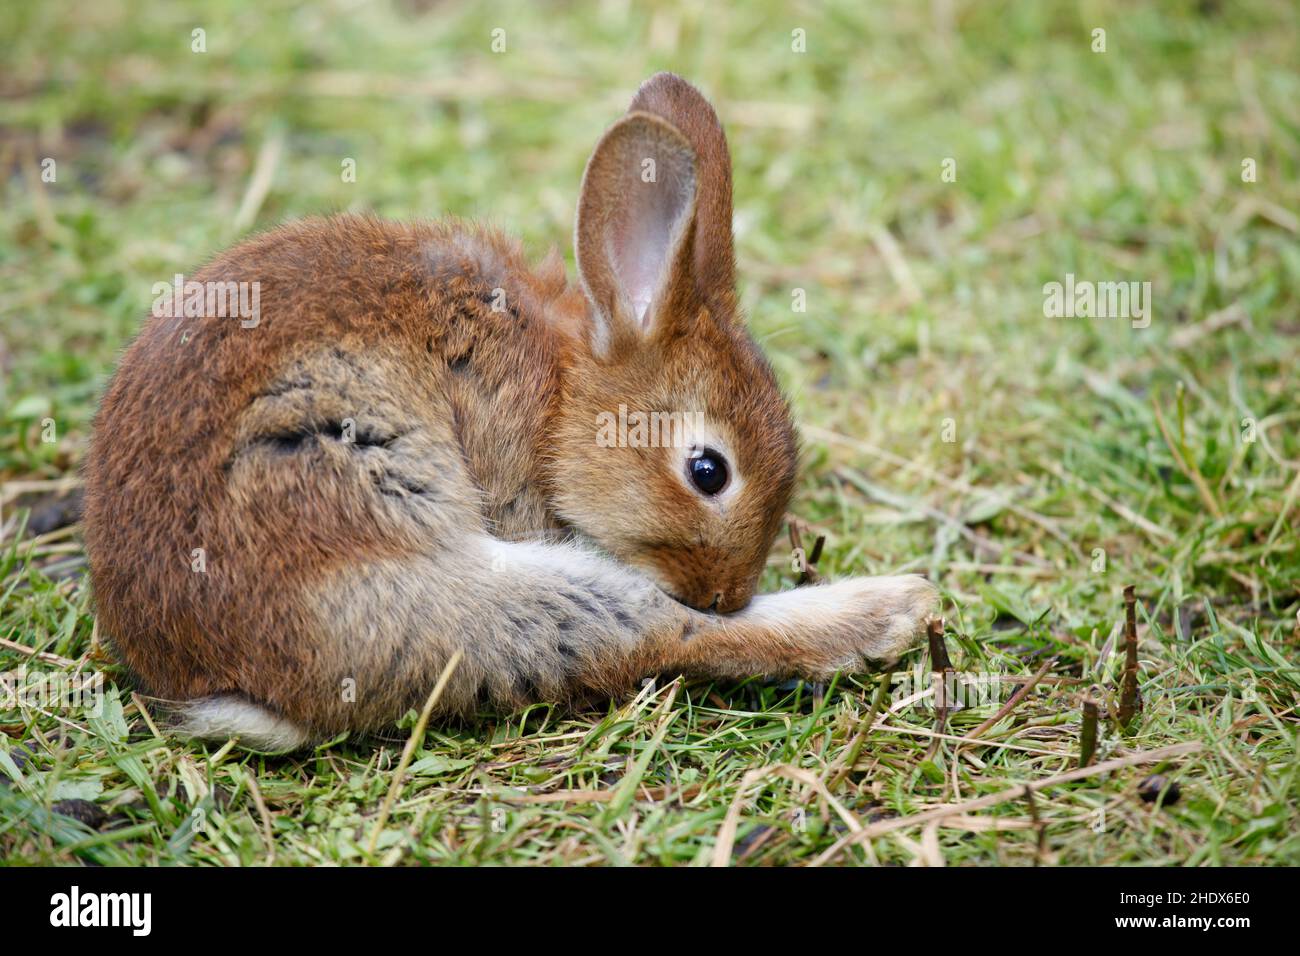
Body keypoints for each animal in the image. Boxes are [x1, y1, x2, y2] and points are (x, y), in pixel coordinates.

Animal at [82, 73, 938, 750]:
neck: (564, 393)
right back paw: (893, 608)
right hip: (443, 581)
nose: (725, 591)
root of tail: (228, 679)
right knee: (660, 636)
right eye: (707, 471)